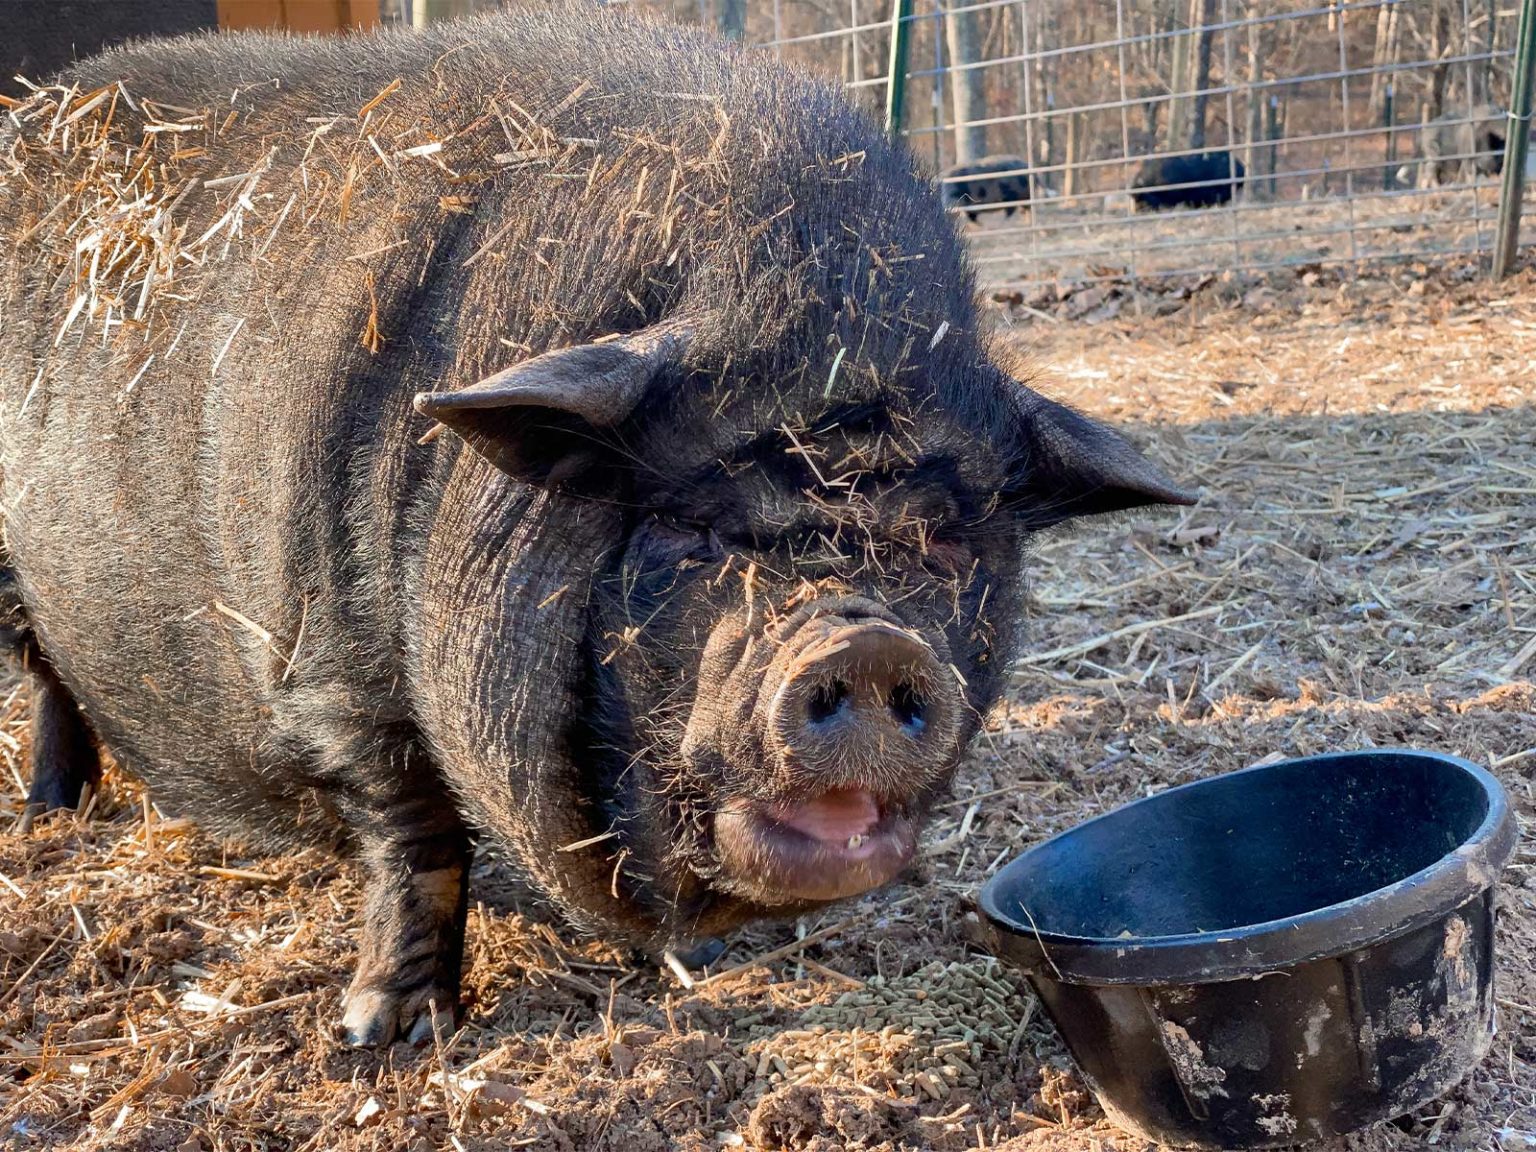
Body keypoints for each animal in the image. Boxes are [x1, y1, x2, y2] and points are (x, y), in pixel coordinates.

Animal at [0, 4, 1192, 1045]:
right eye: (696, 529)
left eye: (947, 539)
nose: (865, 642)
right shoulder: (332, 667)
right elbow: (416, 836)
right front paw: (386, 1036)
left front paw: (698, 961)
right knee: (47, 676)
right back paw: (52, 813)